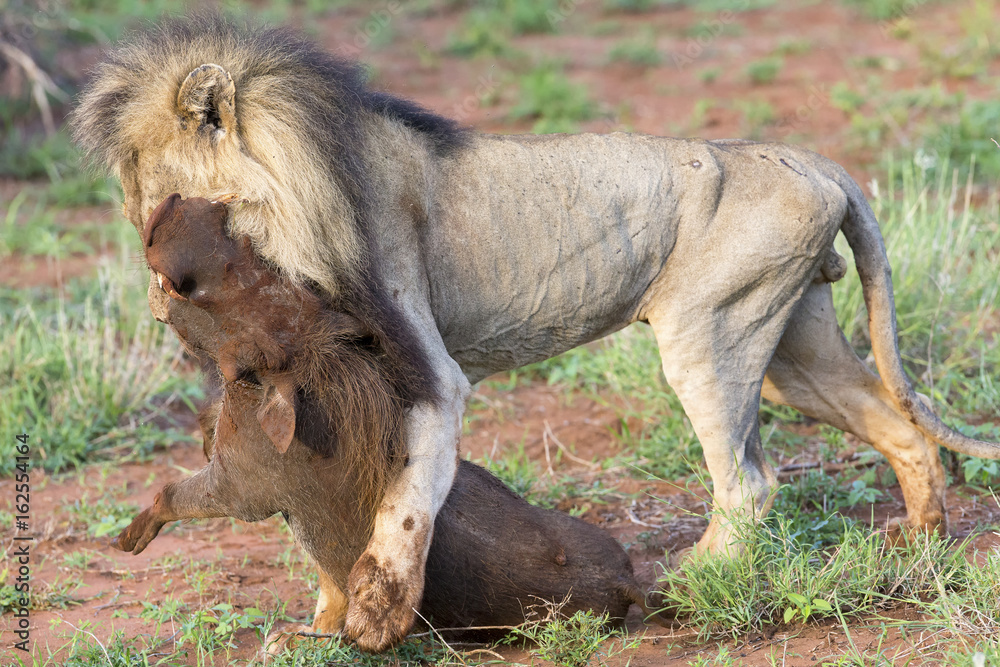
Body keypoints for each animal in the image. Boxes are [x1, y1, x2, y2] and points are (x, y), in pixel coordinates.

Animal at [72, 15, 1000, 652]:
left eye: (159, 202)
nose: (154, 291)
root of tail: (811, 158)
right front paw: (325, 618)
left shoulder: (429, 372)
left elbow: (402, 500)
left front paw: (378, 611)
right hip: (789, 347)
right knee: (897, 426)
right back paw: (923, 536)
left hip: (707, 334)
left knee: (749, 481)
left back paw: (697, 582)